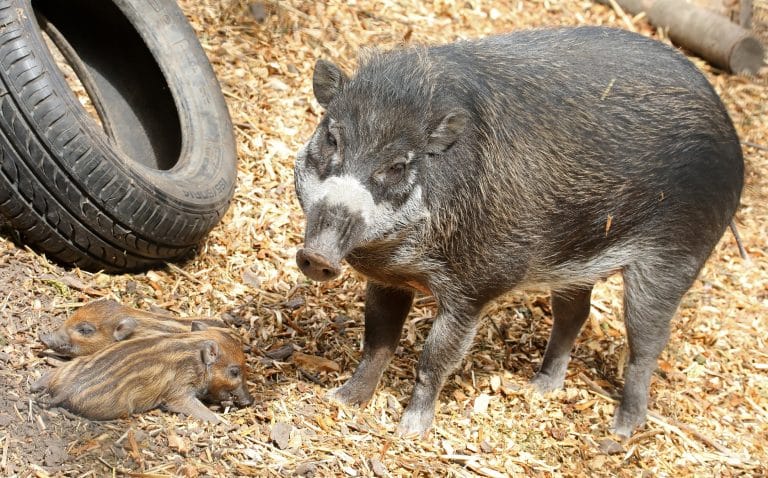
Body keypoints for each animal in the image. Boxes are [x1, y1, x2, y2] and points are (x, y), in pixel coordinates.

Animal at [31, 324, 253, 422]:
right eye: (234, 372)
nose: (251, 401)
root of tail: (67, 390)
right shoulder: (179, 393)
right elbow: (197, 409)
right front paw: (223, 422)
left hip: (67, 367)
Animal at [293, 26, 744, 438]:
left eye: (399, 165)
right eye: (331, 137)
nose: (316, 257)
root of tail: (730, 131)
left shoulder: (474, 290)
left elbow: (433, 359)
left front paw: (409, 433)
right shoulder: (388, 278)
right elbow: (377, 342)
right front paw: (341, 400)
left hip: (676, 256)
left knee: (647, 344)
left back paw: (618, 434)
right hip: (573, 264)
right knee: (575, 314)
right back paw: (539, 389)